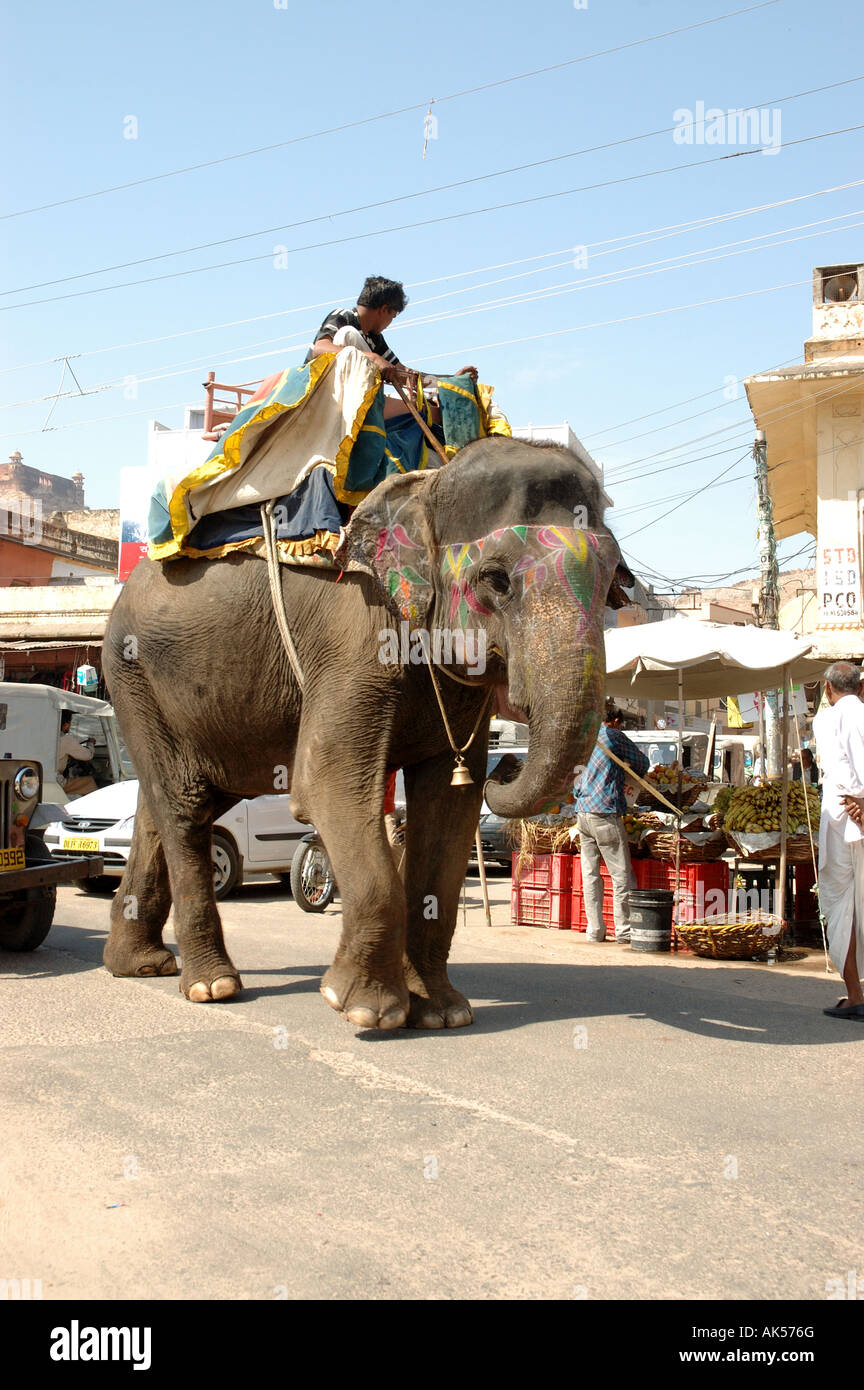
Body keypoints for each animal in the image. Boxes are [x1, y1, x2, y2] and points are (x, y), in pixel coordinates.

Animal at [102, 436, 633, 1029]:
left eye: (613, 583)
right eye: (495, 579)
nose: (509, 764)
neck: (427, 486)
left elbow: (450, 804)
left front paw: (443, 1014)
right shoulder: (356, 636)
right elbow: (325, 784)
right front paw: (364, 1010)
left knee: (168, 803)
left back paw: (140, 965)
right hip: (132, 672)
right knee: (185, 804)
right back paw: (211, 985)